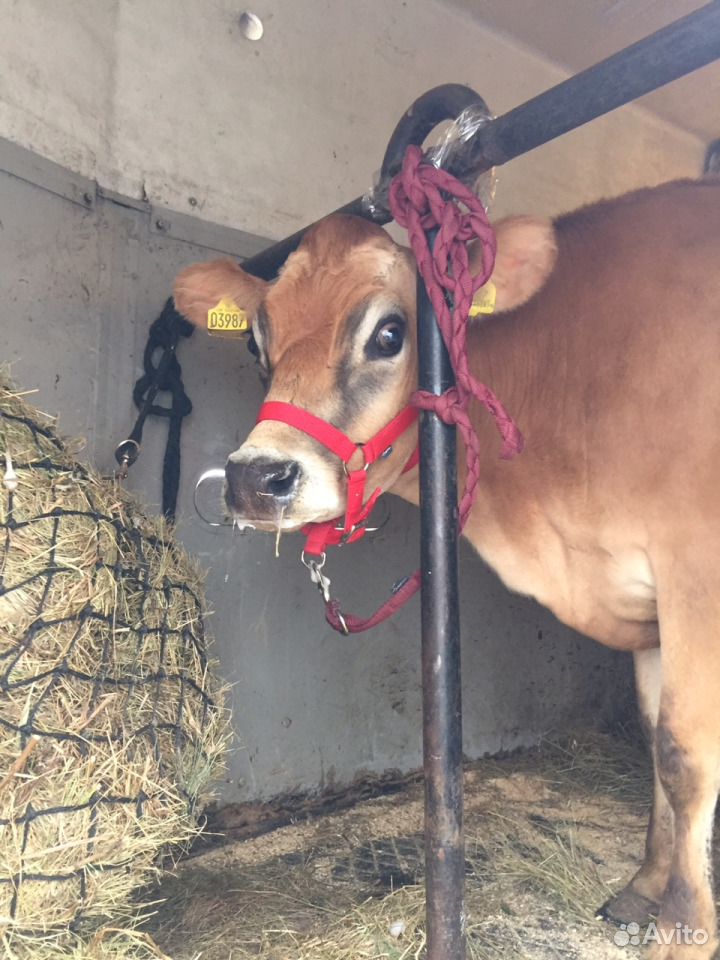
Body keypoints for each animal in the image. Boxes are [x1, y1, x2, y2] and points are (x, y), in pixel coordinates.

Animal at [174, 177, 720, 959]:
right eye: (256, 338)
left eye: (390, 334)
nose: (255, 477)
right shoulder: (645, 609)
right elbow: (652, 739)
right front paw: (645, 886)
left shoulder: (693, 568)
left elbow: (683, 753)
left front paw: (684, 932)